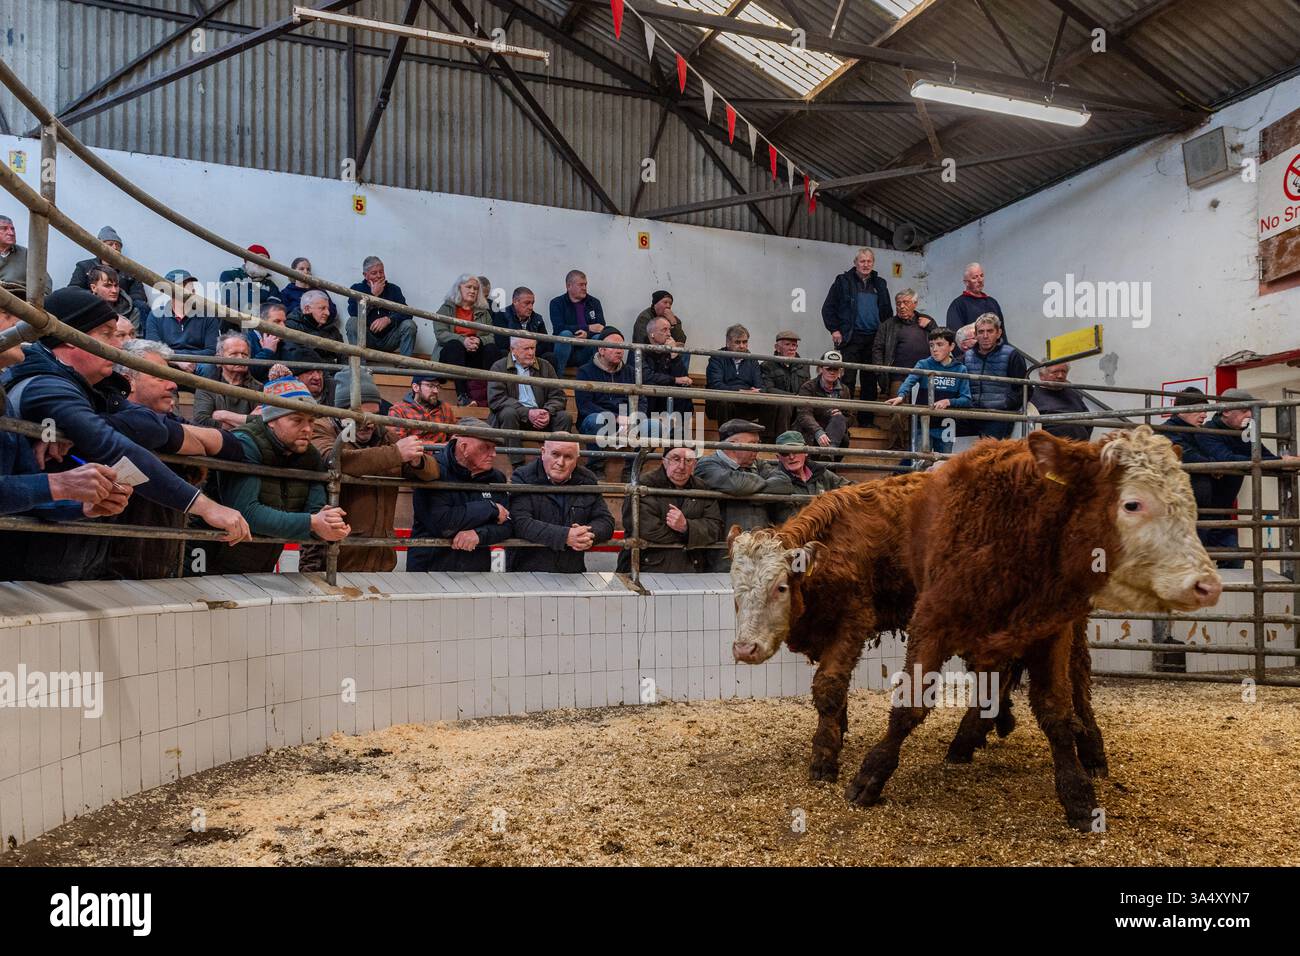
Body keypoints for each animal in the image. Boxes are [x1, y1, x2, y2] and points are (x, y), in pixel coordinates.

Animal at [730, 426, 1221, 829]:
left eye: (779, 587)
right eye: (736, 591)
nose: (744, 649)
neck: (835, 545)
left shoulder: (856, 619)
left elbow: (830, 688)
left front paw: (825, 759)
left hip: (1068, 625)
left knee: (1077, 676)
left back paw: (1089, 749)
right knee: (999, 672)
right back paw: (984, 729)